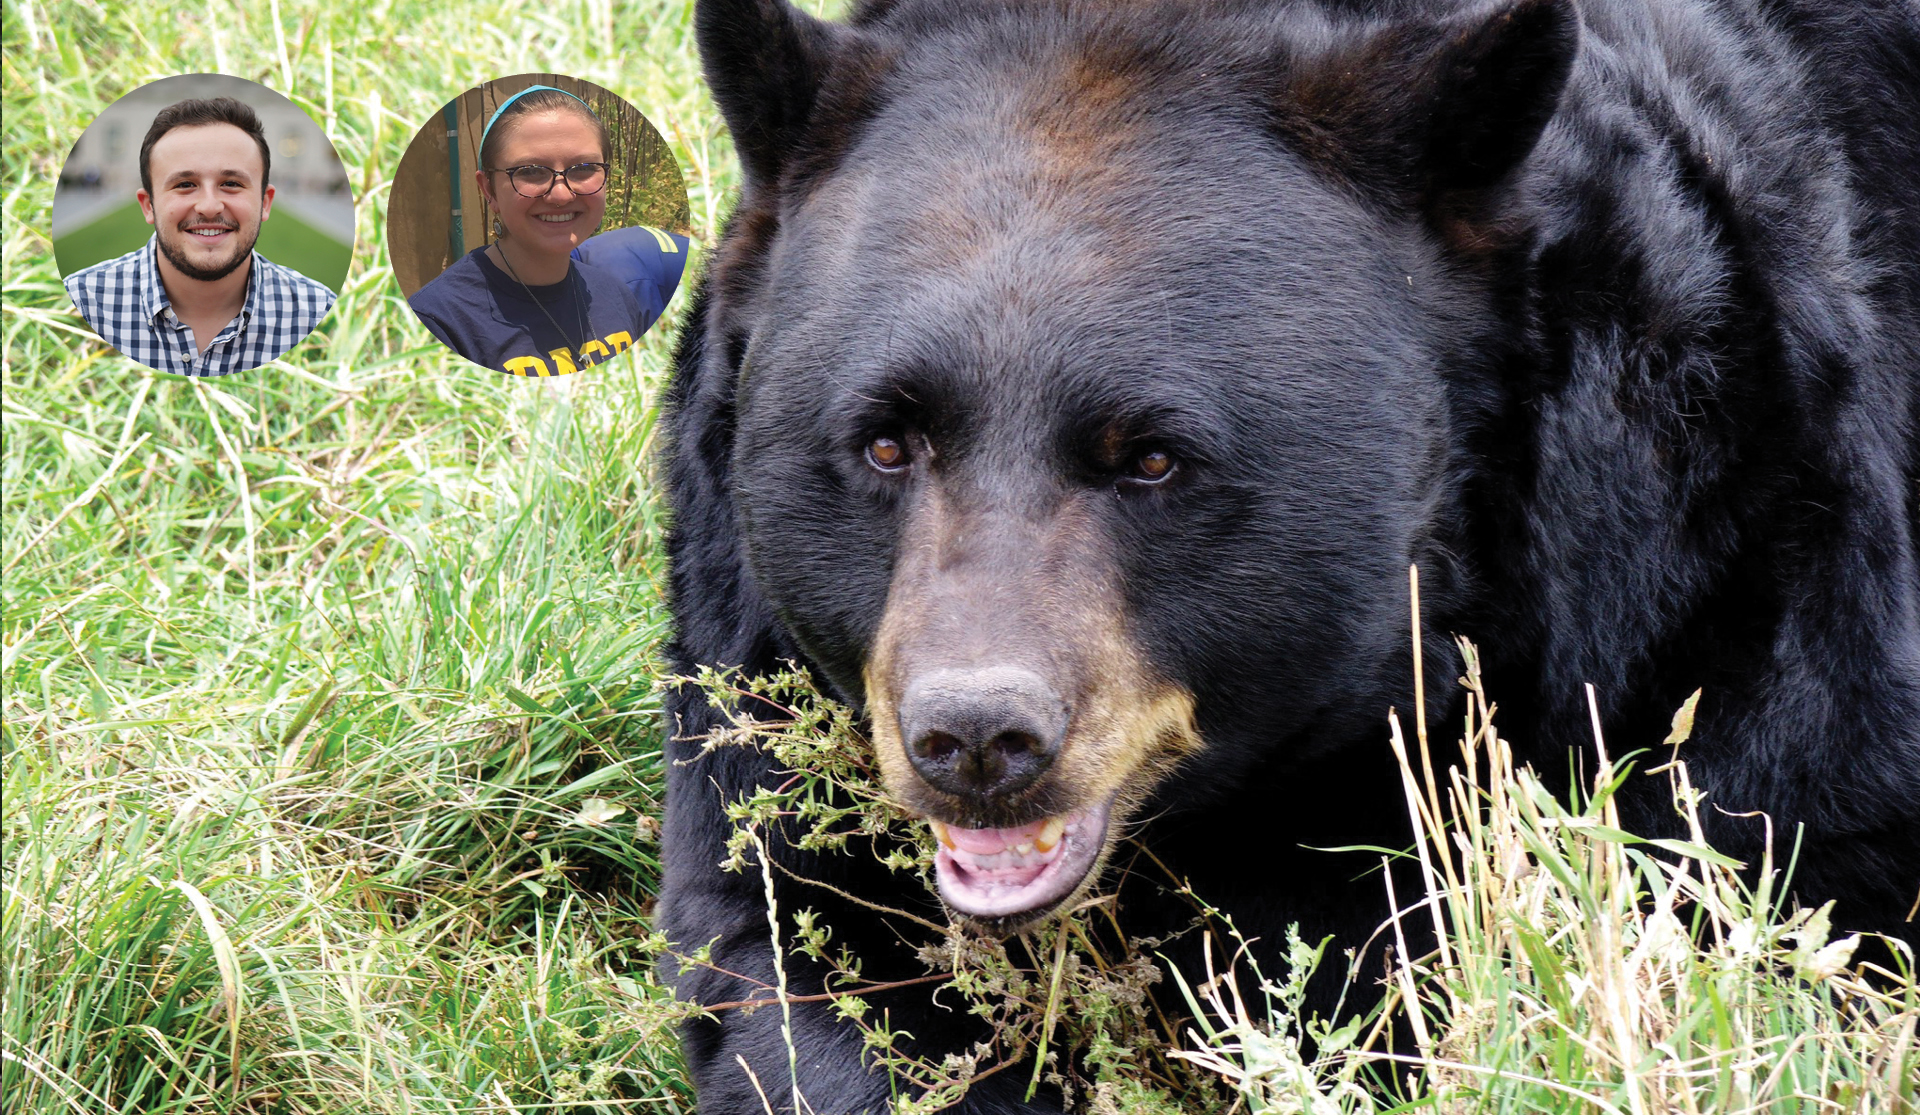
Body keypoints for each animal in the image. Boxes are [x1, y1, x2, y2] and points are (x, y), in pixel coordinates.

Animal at [657, 0, 1920, 1110]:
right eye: (885, 440)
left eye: (1153, 457)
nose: (975, 737)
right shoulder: (758, 677)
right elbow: (792, 940)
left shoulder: (1722, 577)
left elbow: (1773, 864)